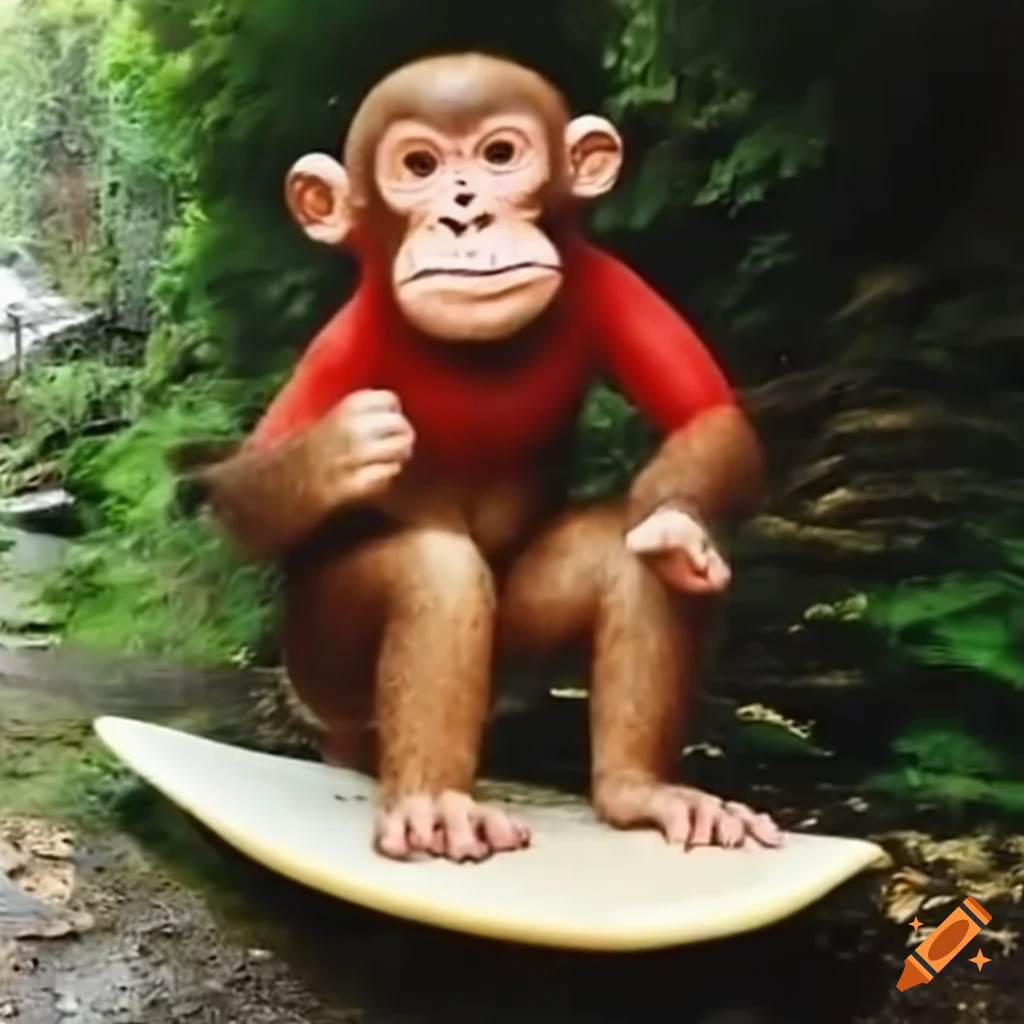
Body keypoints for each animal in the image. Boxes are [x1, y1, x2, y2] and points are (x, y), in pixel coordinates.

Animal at [187, 53, 784, 862]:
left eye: (500, 154)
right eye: (420, 165)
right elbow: (241, 493)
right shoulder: (344, 343)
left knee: (621, 546)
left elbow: (705, 413)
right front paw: (340, 449)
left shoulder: (607, 280)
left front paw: (680, 529)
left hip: (512, 656)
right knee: (431, 568)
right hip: (316, 666)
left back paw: (640, 791)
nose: (464, 213)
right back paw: (434, 803)